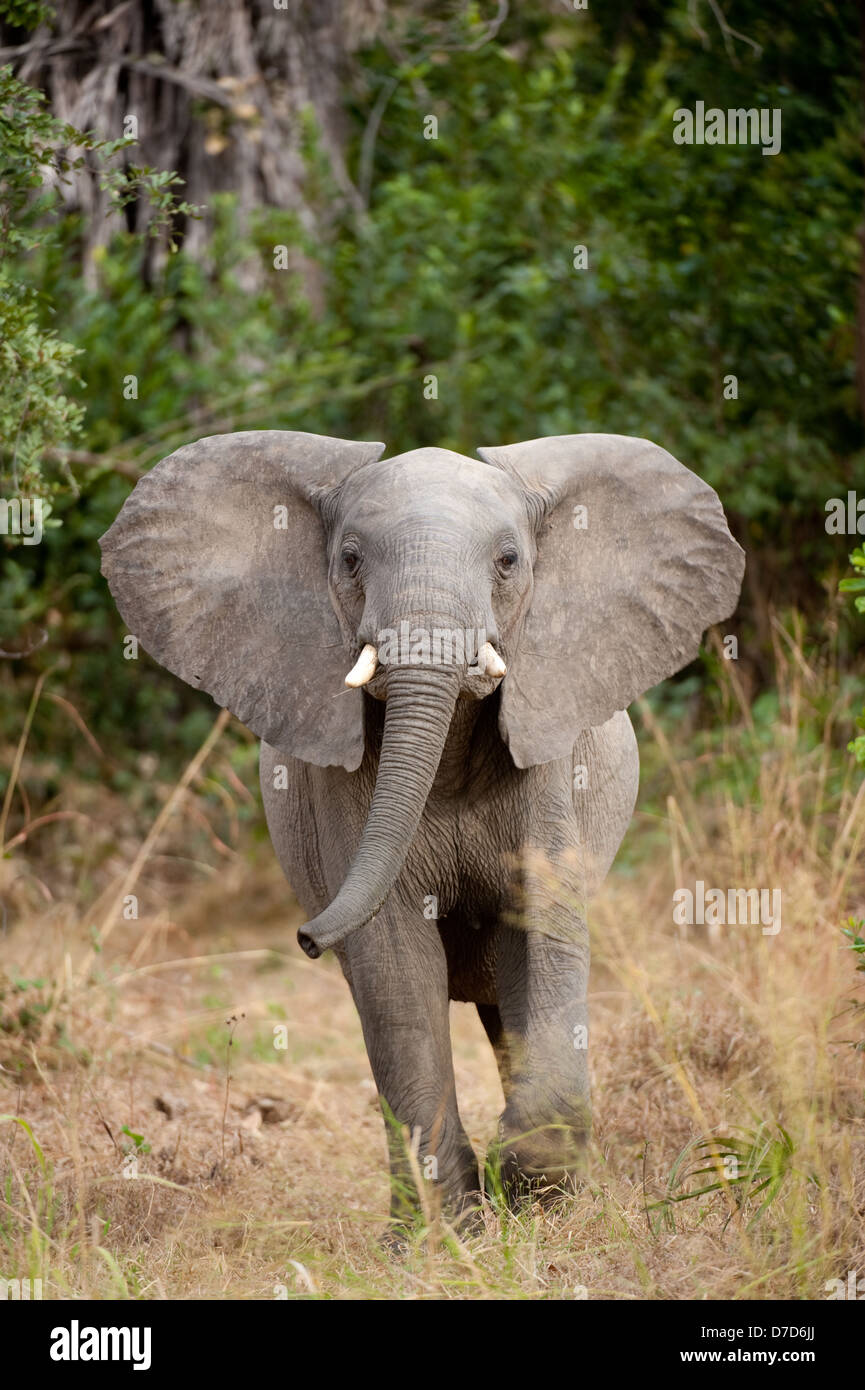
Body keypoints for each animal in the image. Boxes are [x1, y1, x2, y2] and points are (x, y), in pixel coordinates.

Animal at [99, 429, 744, 1232]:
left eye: (509, 560)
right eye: (349, 559)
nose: (307, 937)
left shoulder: (547, 764)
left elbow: (543, 925)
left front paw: (526, 1194)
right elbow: (395, 963)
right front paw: (453, 1232)